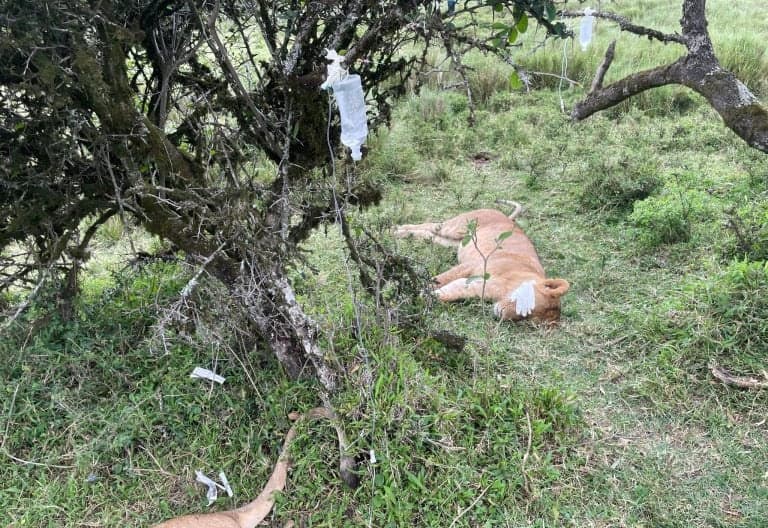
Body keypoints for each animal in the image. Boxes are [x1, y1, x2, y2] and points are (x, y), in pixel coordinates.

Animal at [394, 201, 570, 322]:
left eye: (525, 319)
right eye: (526, 309)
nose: (501, 315)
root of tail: (506, 217)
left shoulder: (477, 285)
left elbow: (449, 291)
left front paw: (425, 296)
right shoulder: (471, 266)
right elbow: (440, 279)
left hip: (451, 241)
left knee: (428, 234)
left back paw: (402, 233)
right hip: (456, 226)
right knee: (431, 225)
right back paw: (396, 229)